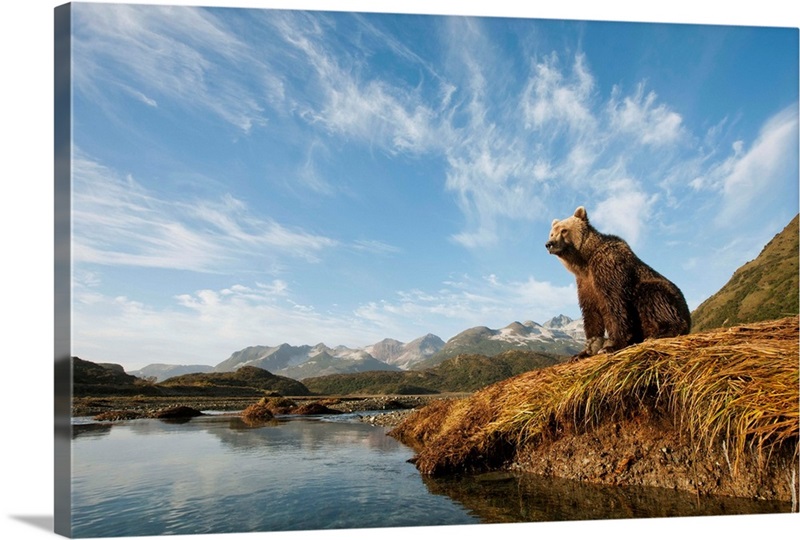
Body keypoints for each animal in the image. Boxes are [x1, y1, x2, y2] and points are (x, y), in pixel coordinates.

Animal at [545, 206, 691, 360]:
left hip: (664, 294)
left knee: (653, 296)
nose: (549, 244)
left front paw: (611, 346)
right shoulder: (584, 283)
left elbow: (615, 305)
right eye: (552, 233)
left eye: (564, 230)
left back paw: (661, 332)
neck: (584, 261)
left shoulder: (608, 268)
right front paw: (586, 350)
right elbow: (590, 311)